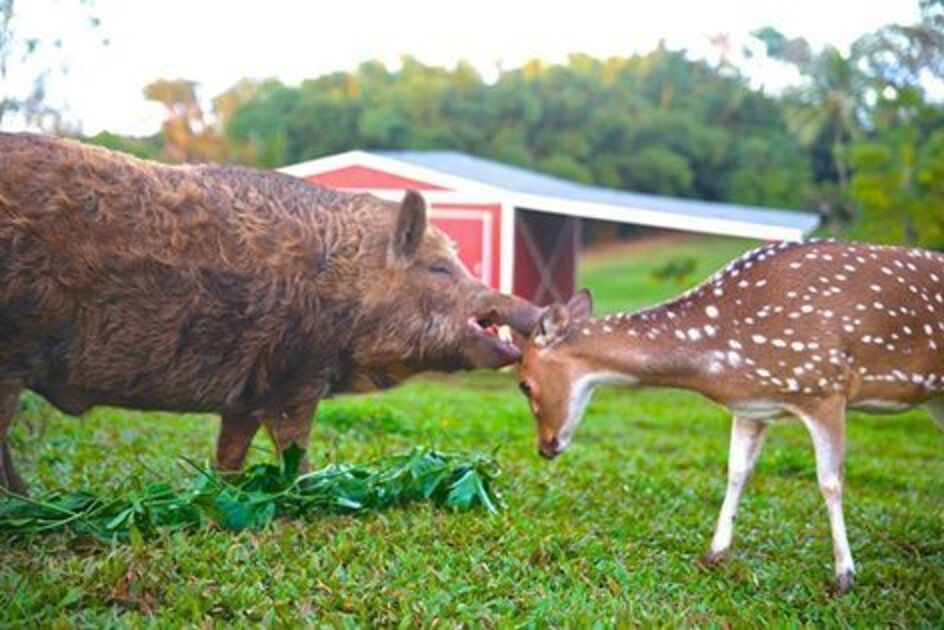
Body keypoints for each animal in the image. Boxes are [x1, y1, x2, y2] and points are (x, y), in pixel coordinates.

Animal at [0, 133, 540, 493]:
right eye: (440, 268)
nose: (537, 310)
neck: (351, 288)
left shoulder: (247, 392)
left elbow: (231, 451)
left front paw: (223, 493)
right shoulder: (297, 373)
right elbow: (293, 444)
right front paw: (312, 491)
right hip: (12, 355)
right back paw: (32, 505)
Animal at [516, 239, 944, 594]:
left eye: (524, 384)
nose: (545, 446)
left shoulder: (824, 386)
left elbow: (830, 481)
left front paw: (844, 576)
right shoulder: (752, 406)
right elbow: (737, 470)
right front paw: (714, 554)